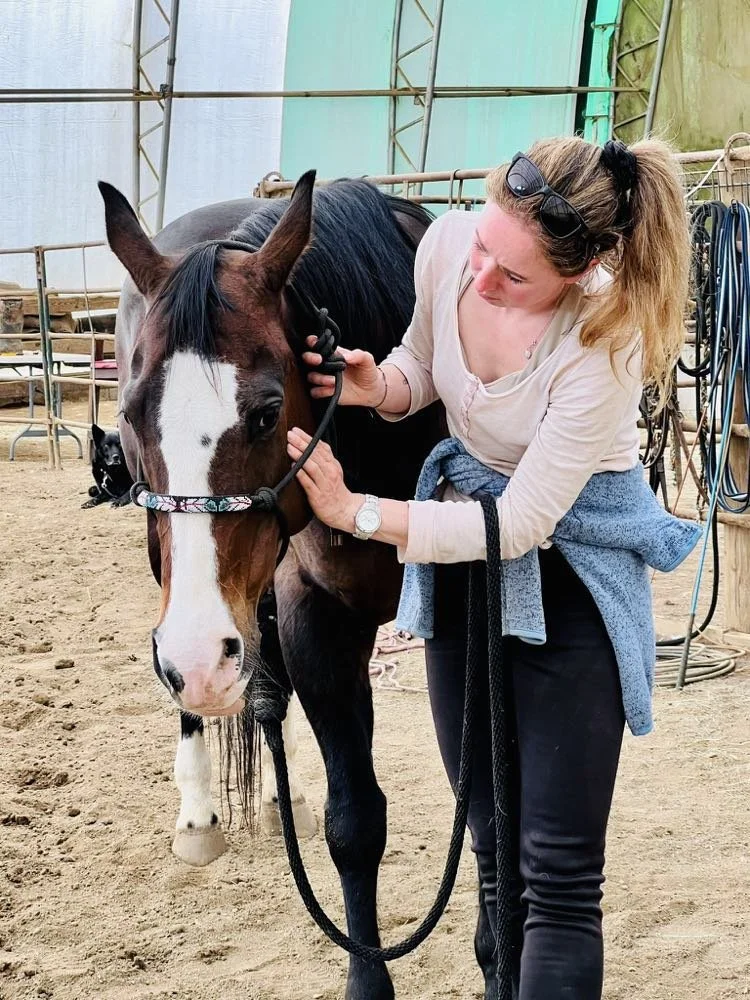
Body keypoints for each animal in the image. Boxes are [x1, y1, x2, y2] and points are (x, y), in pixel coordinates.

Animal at [100, 171, 446, 1000]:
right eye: (129, 413)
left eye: (264, 413)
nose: (200, 657)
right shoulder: (315, 621)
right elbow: (355, 824)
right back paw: (201, 816)